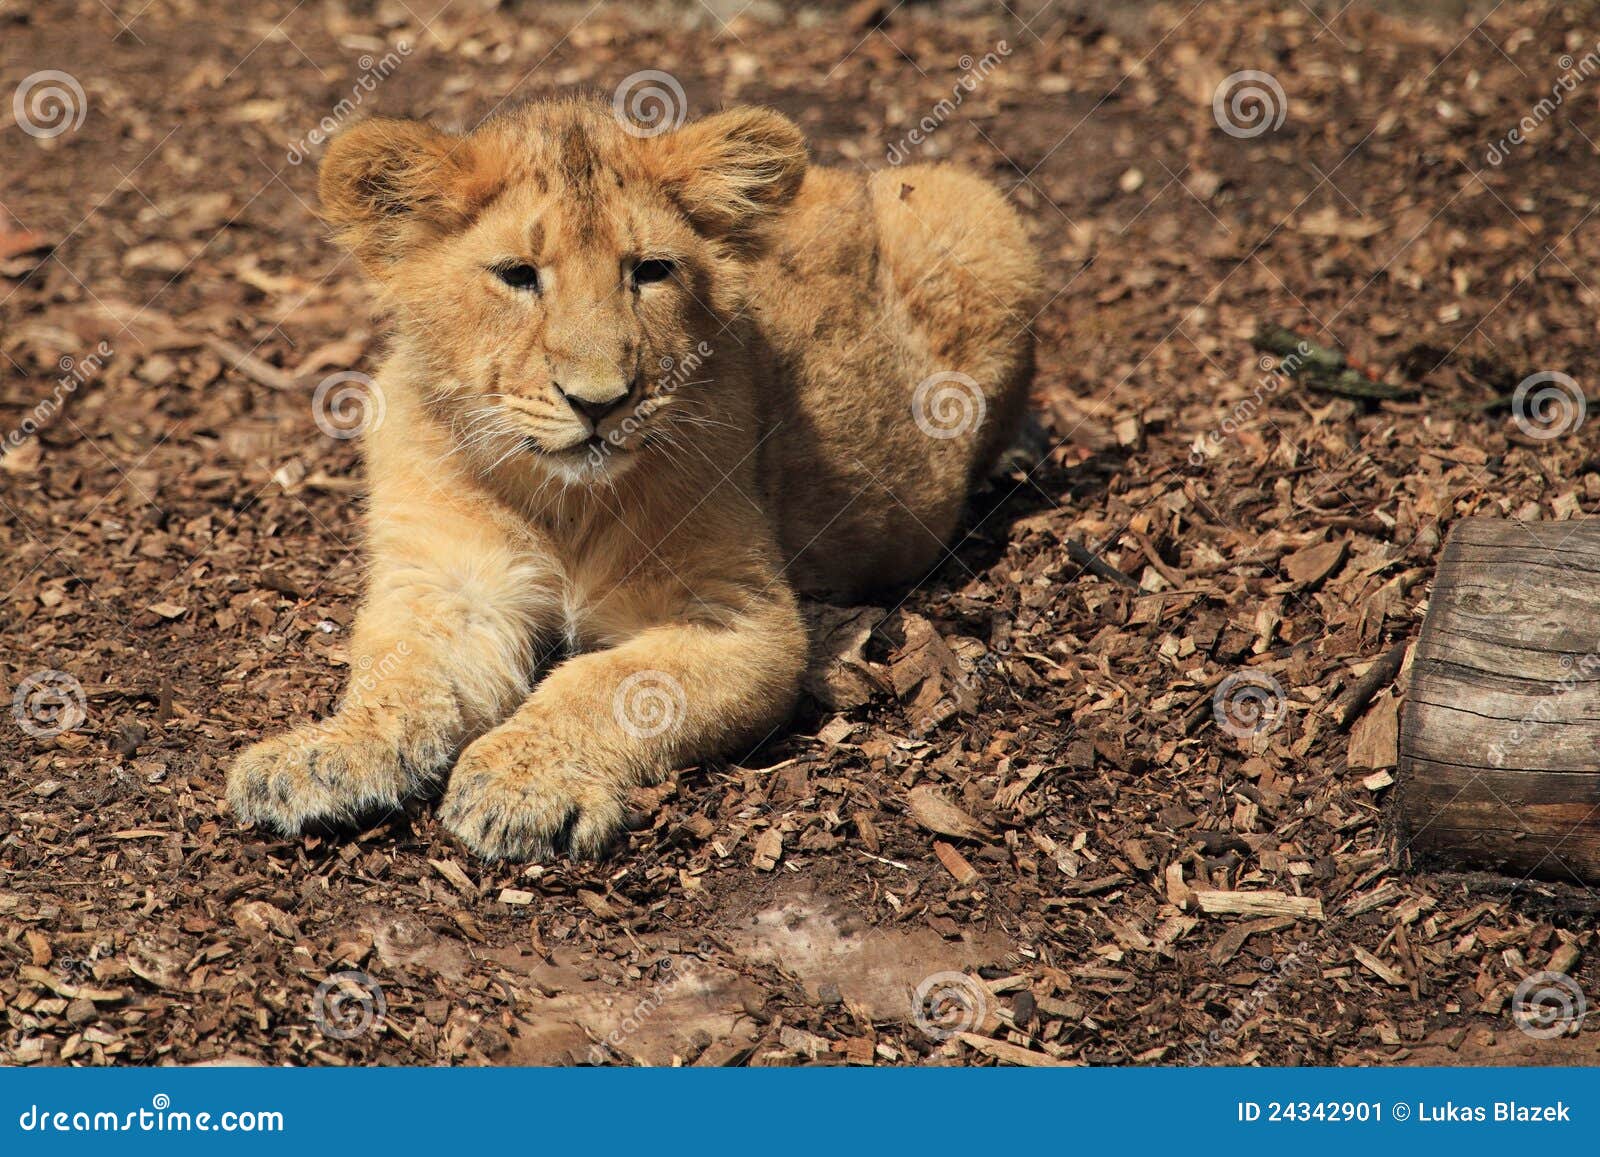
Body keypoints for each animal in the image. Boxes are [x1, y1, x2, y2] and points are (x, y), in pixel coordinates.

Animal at [227, 97, 1040, 861]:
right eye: (518, 276)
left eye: (649, 271)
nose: (598, 402)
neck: (563, 502)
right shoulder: (447, 583)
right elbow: (402, 676)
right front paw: (322, 757)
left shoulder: (742, 617)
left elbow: (600, 684)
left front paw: (520, 783)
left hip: (976, 209)